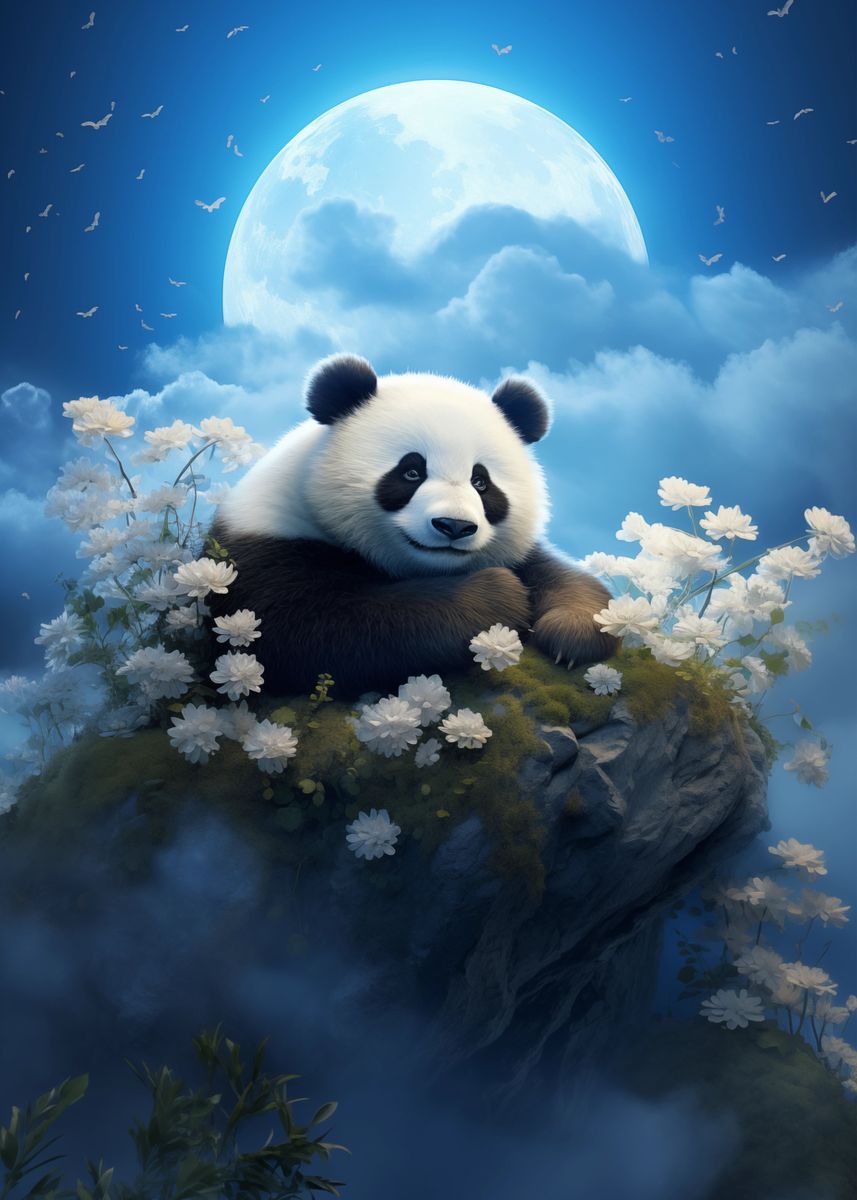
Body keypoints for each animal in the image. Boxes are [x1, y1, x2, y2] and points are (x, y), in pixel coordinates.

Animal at [207, 353, 618, 698]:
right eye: (411, 472)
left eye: (481, 482)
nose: (454, 525)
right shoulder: (265, 550)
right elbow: (309, 634)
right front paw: (499, 594)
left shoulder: (517, 550)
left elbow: (570, 579)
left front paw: (571, 632)